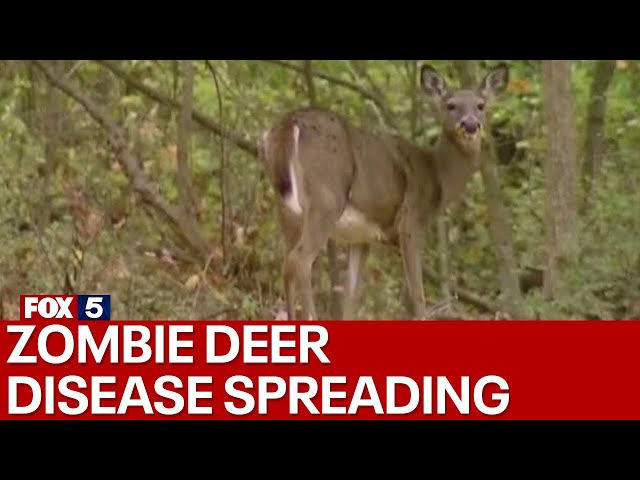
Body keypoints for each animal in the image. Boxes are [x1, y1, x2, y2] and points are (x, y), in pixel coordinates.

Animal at [260, 62, 510, 320]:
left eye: (481, 105)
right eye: (450, 105)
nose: (470, 125)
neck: (436, 175)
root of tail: (288, 123)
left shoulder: (361, 237)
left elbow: (352, 296)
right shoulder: (410, 222)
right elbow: (416, 295)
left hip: (287, 209)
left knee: (286, 262)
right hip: (326, 198)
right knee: (299, 260)